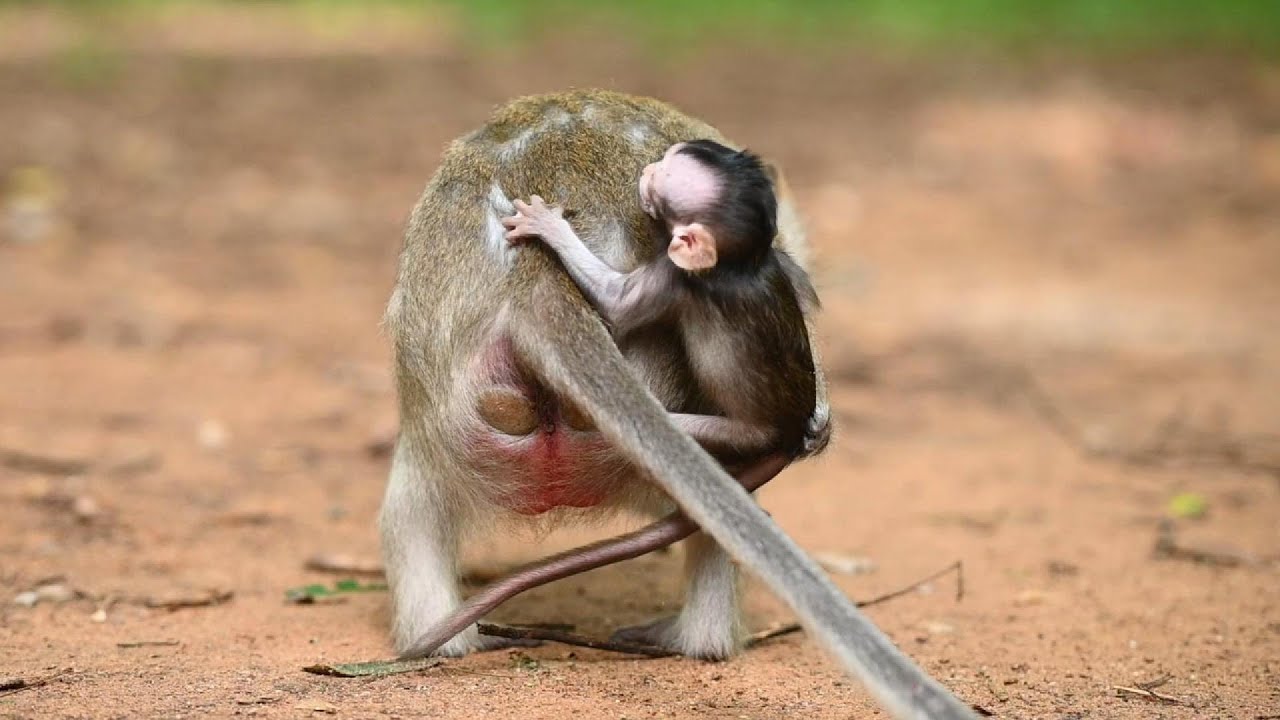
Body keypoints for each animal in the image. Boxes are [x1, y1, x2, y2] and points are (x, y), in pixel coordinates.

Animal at [500, 139, 823, 462]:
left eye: (660, 177)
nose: (648, 169)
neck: (740, 264)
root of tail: (792, 431)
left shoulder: (675, 276)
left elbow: (616, 304)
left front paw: (548, 226)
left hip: (747, 437)